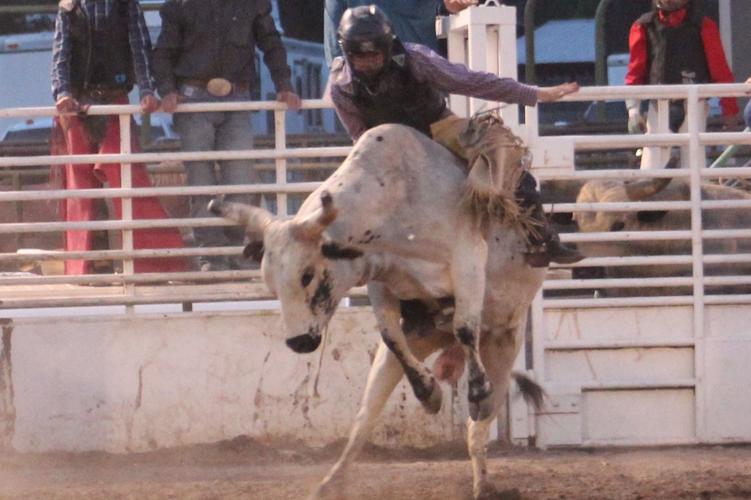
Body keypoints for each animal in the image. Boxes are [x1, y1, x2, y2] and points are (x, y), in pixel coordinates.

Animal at [209, 123, 546, 499]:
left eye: (307, 274)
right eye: (270, 283)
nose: (298, 342)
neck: (395, 200)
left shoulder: (468, 259)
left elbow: (465, 326)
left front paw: (475, 390)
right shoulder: (381, 280)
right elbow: (390, 335)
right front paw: (429, 393)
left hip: (505, 341)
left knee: (478, 423)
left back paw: (483, 481)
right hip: (416, 342)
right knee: (365, 418)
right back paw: (330, 483)